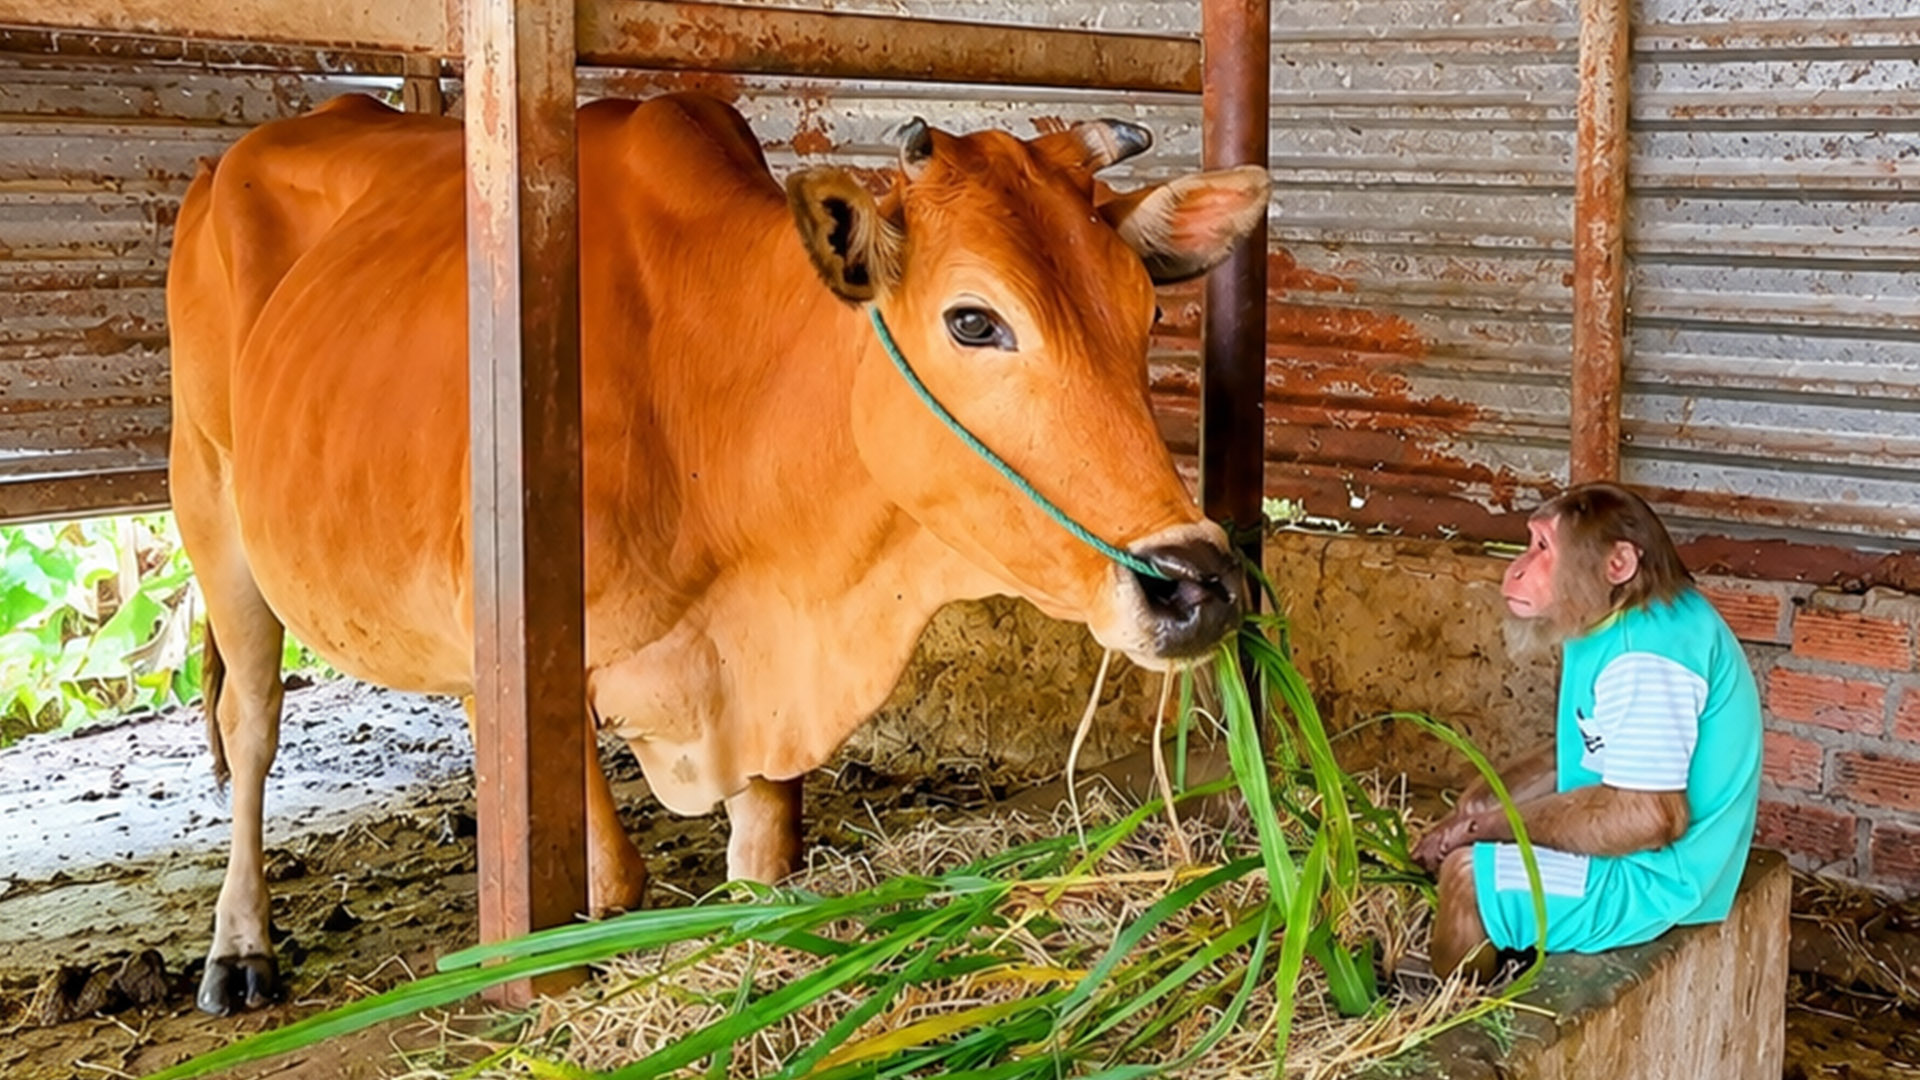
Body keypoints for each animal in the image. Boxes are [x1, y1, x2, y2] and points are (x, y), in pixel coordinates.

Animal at [167, 90, 1269, 1014]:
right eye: (973, 319)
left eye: (1148, 310)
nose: (1199, 584)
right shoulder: (533, 660)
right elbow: (613, 883)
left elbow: (764, 869)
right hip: (209, 503)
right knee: (251, 724)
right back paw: (239, 949)